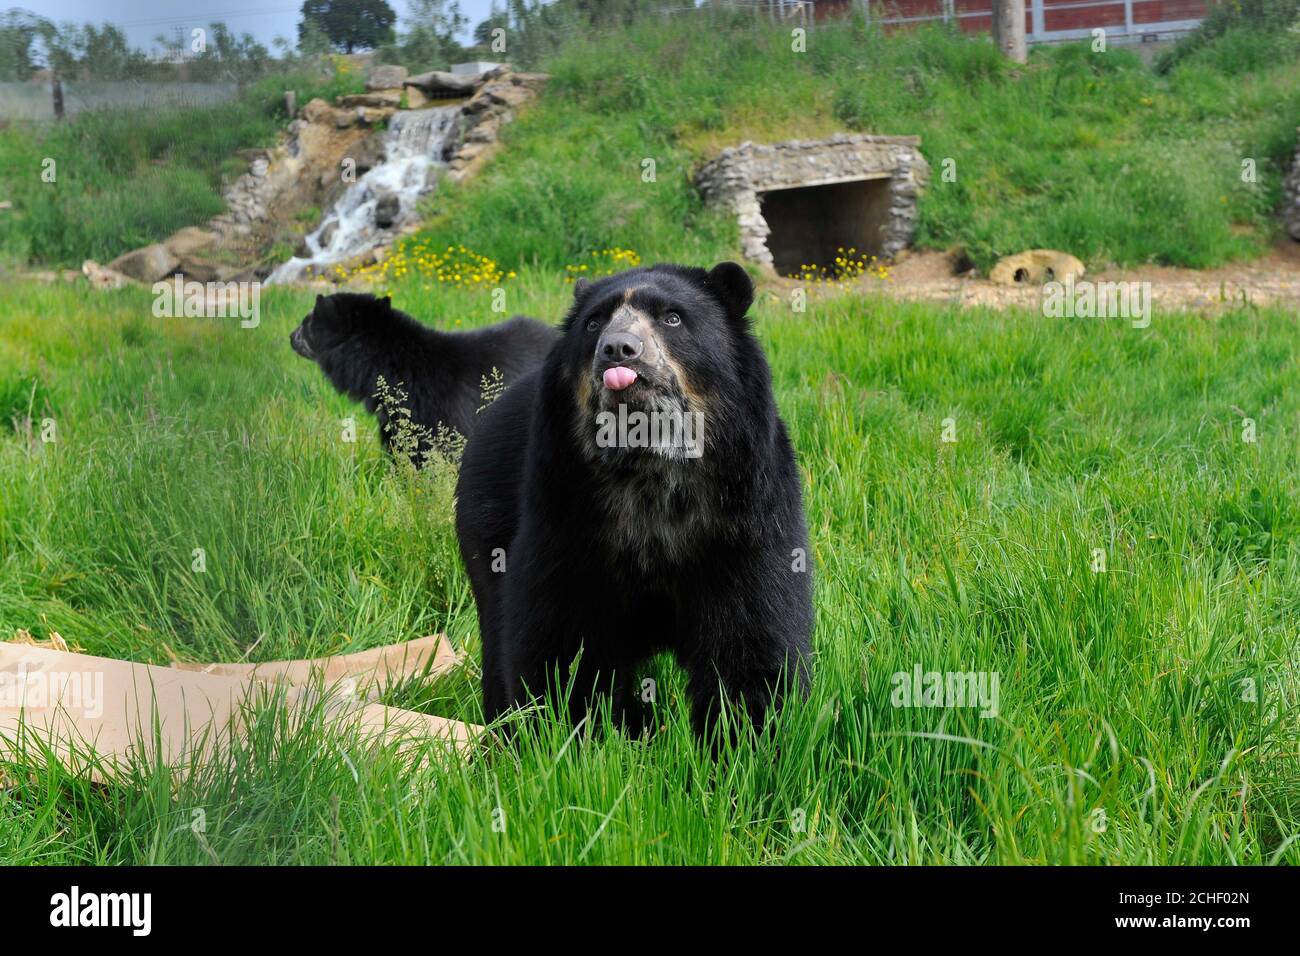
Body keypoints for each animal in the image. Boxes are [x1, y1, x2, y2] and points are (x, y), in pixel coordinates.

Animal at [455, 262, 813, 743]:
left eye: (672, 318)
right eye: (594, 323)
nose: (618, 349)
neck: (649, 466)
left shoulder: (746, 512)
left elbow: (752, 632)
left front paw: (744, 739)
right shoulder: (562, 510)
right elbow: (561, 638)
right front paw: (569, 734)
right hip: (485, 521)